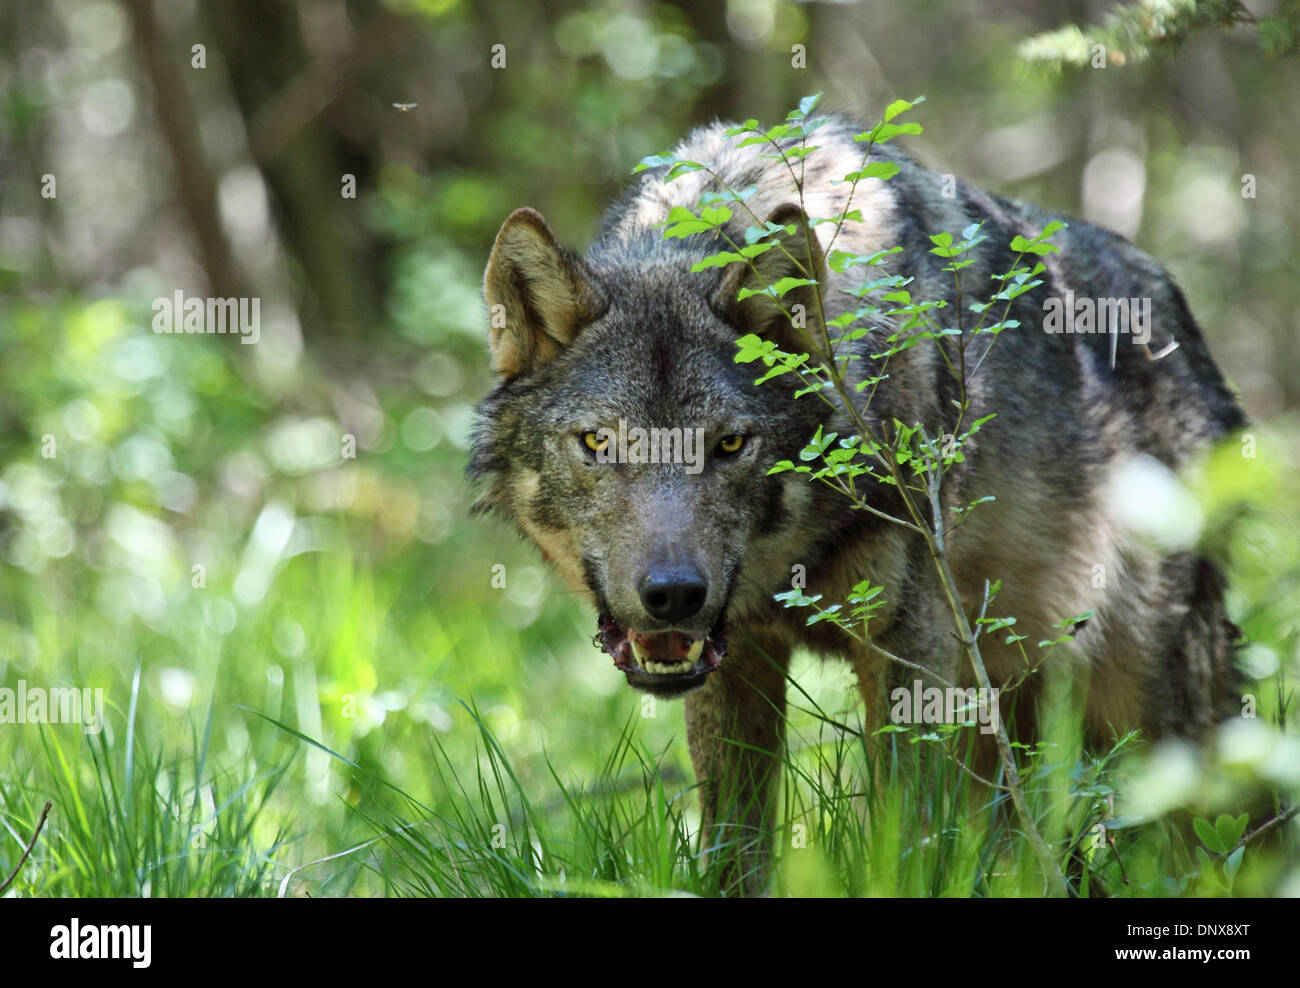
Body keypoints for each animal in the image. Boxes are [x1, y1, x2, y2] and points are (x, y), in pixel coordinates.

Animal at [469, 110, 1245, 895]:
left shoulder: (908, 647)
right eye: (597, 441)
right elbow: (736, 848)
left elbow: (903, 840)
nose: (674, 594)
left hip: (1149, 715)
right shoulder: (738, 660)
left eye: (729, 444)